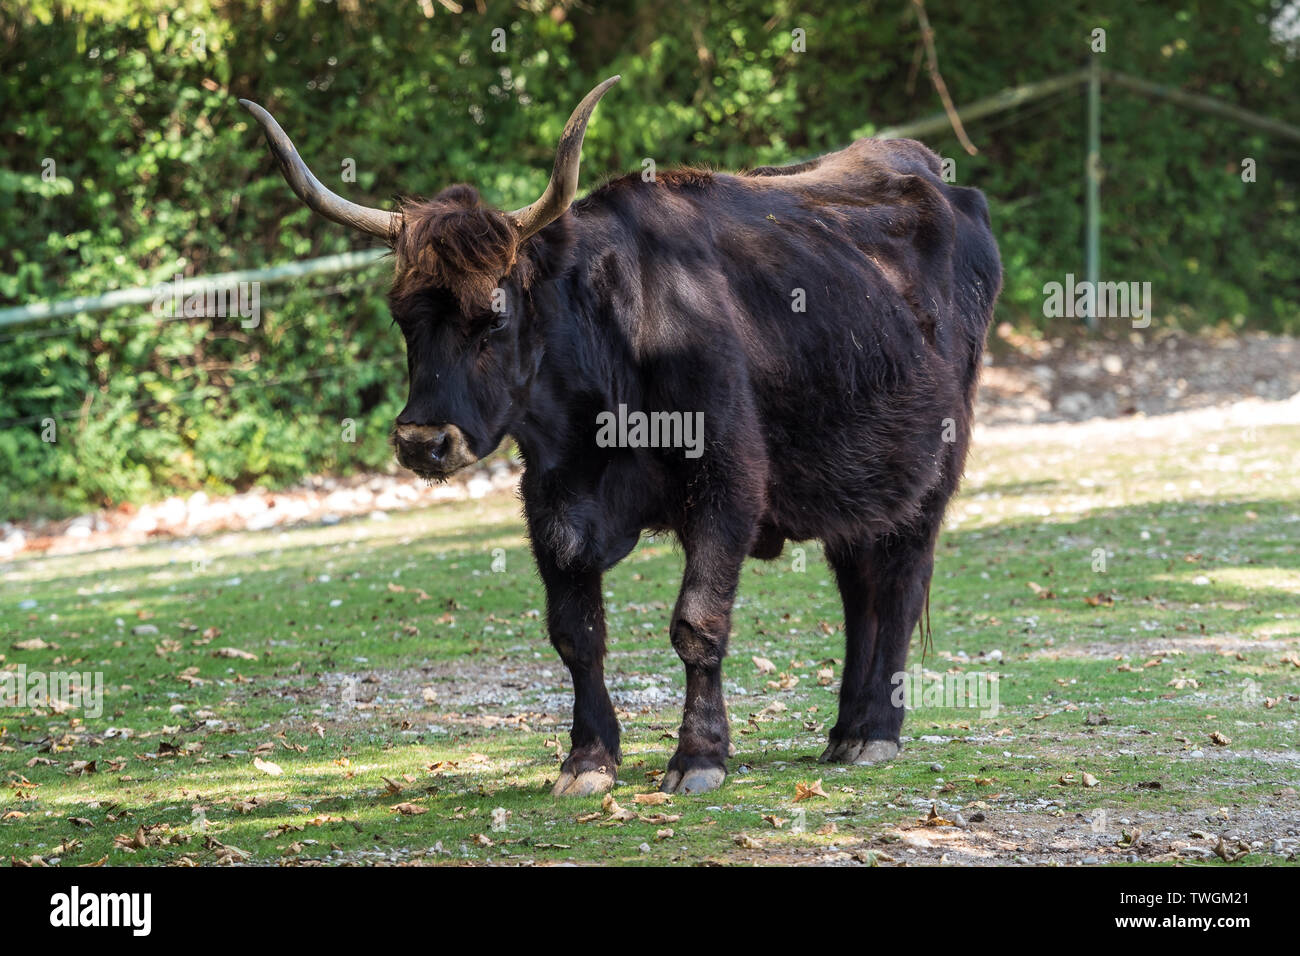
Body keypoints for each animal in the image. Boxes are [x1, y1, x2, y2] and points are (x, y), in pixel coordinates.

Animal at [240, 75, 1001, 796]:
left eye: (494, 314)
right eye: (403, 316)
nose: (423, 442)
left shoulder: (727, 486)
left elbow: (696, 623)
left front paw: (699, 756)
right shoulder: (552, 502)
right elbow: (575, 635)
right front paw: (588, 758)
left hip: (929, 474)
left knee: (898, 585)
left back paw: (875, 733)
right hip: (855, 488)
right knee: (859, 591)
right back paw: (845, 731)